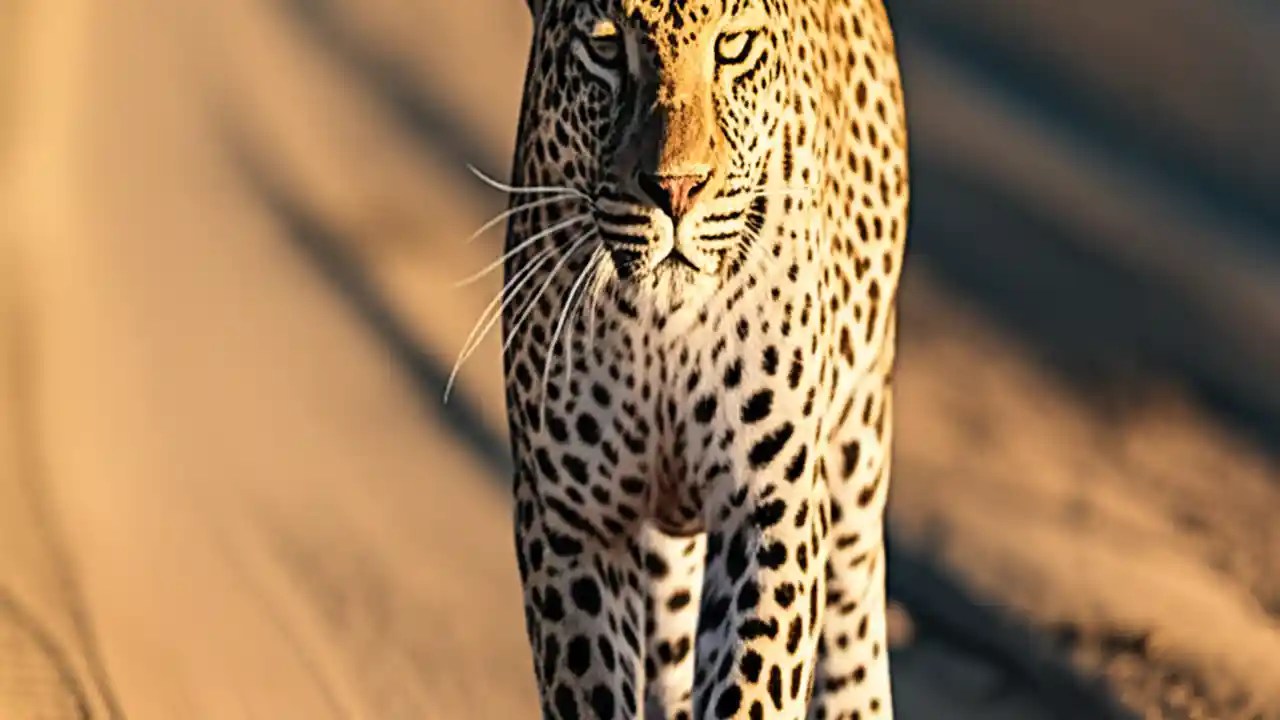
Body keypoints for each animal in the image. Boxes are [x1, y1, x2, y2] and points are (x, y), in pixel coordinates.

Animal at [486, 0, 908, 716]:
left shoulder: (771, 503)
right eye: (607, 48)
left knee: (854, 612)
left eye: (732, 48)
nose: (676, 190)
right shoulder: (570, 518)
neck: (664, 330)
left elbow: (754, 683)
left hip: (858, 443)